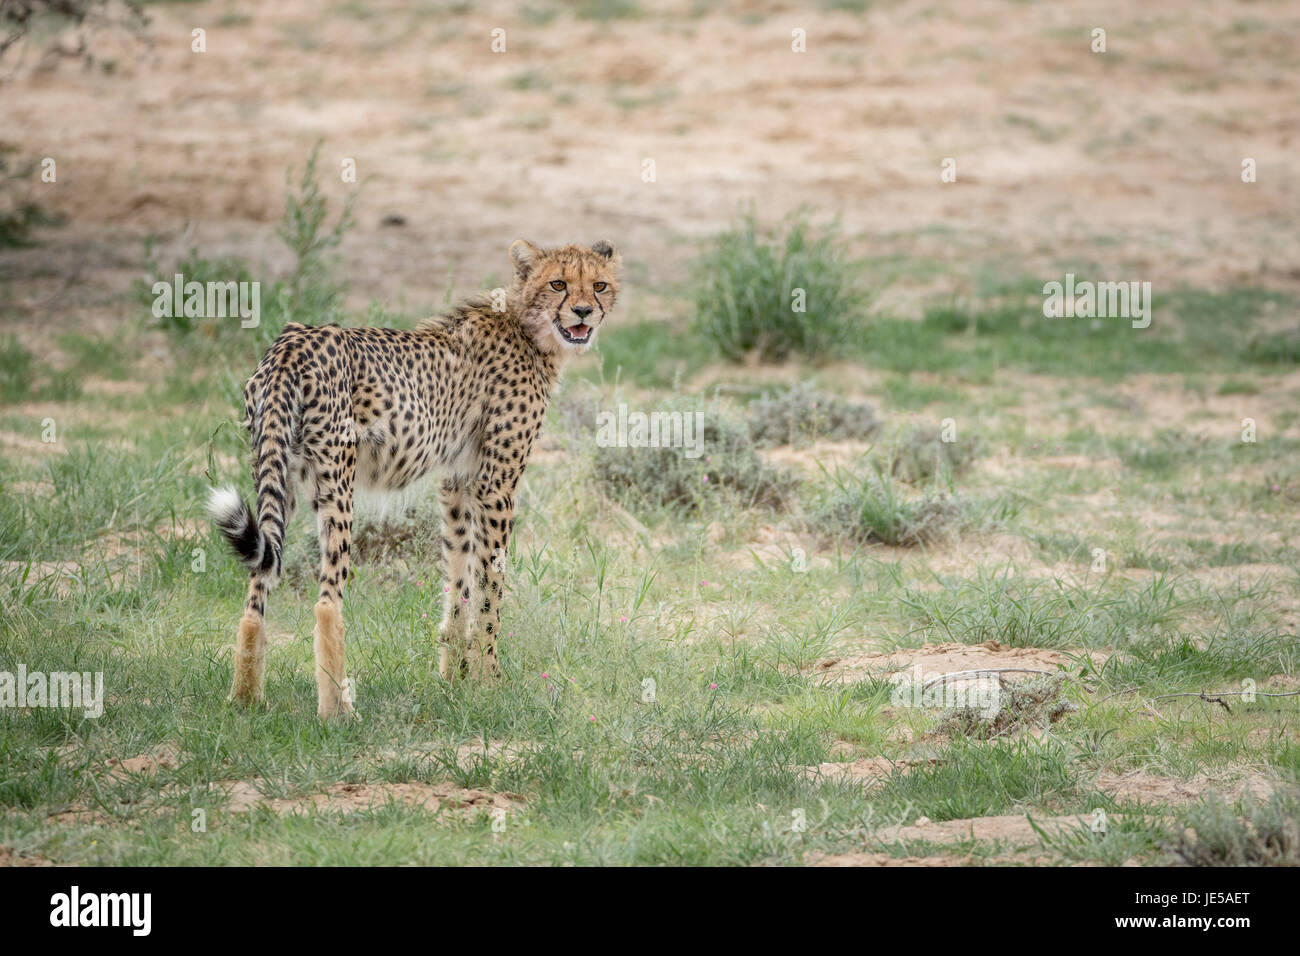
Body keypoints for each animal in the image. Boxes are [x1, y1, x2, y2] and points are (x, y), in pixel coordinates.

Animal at [207, 239, 620, 719]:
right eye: (557, 284)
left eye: (599, 285)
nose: (583, 311)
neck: (527, 326)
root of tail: (292, 341)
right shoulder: (496, 485)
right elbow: (490, 588)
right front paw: (490, 681)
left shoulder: (457, 482)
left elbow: (460, 578)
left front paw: (455, 676)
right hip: (337, 487)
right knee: (326, 602)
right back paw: (337, 713)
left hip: (279, 478)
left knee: (257, 589)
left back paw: (244, 701)